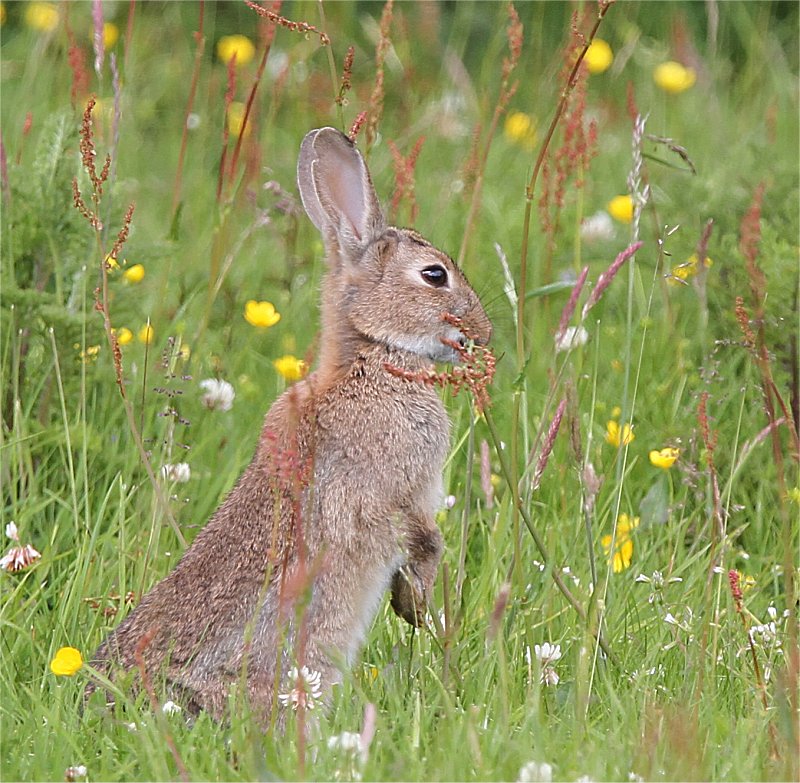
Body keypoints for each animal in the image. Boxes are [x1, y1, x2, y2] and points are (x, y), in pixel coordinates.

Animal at [86, 127, 492, 724]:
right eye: (434, 275)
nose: (483, 331)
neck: (373, 358)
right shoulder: (404, 491)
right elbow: (423, 542)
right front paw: (417, 608)